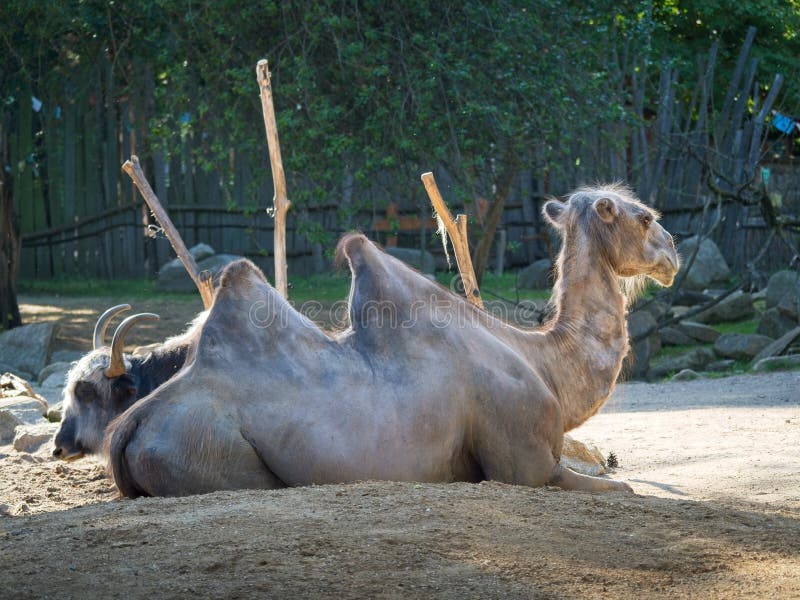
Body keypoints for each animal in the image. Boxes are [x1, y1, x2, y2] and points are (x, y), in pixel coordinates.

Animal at [105, 185, 678, 497]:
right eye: (646, 216)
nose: (672, 251)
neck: (543, 362)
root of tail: (130, 424)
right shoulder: (525, 462)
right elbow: (616, 485)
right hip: (205, 448)